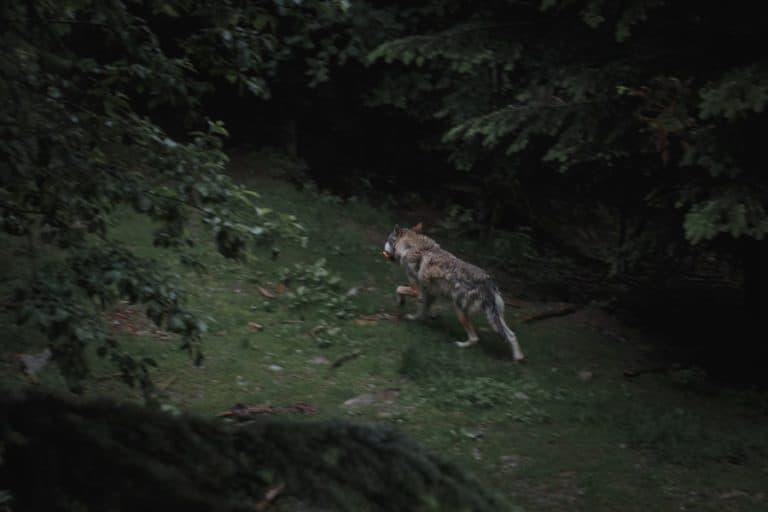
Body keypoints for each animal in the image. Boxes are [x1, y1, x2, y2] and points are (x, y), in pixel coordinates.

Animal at [382, 223, 525, 361]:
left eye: (388, 240)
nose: (383, 249)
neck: (412, 247)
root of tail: (488, 282)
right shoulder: (429, 294)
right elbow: (421, 311)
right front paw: (413, 318)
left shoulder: (416, 290)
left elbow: (398, 289)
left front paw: (400, 302)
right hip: (495, 318)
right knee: (512, 335)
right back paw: (518, 358)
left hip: (460, 311)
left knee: (474, 338)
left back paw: (460, 345)